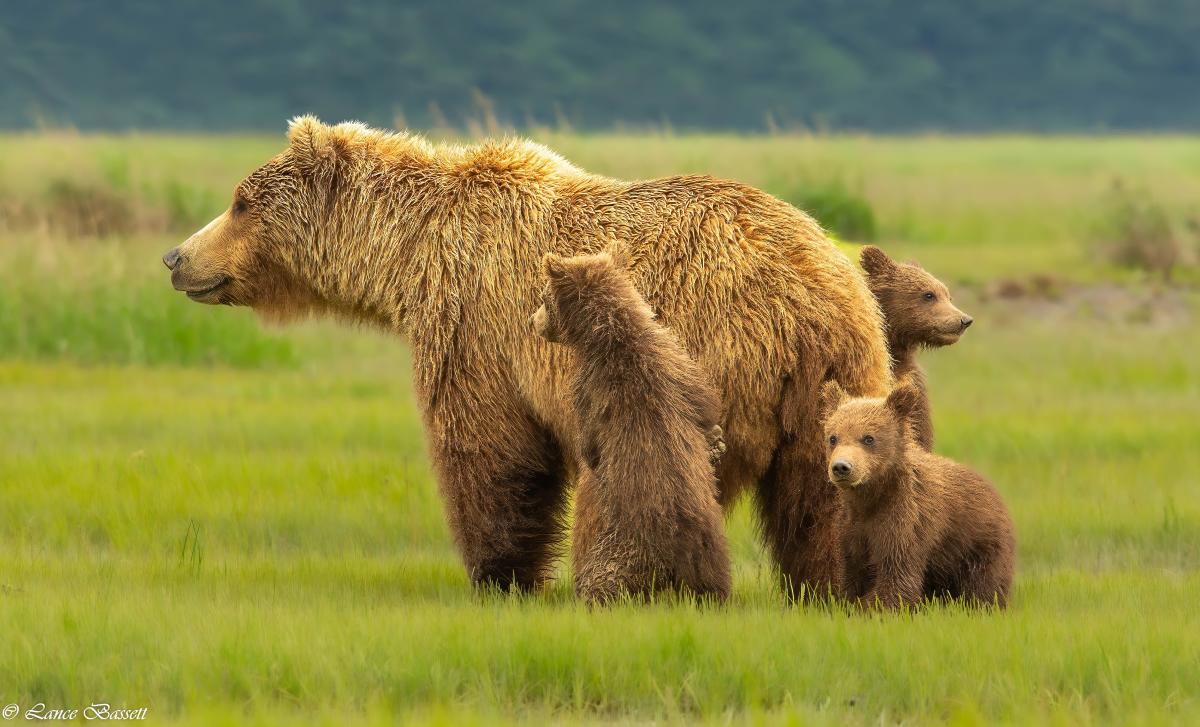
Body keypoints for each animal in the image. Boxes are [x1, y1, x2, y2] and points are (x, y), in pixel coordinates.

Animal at [531, 249, 732, 603]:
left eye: (544, 297)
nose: (533, 320)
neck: (613, 335)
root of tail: (680, 552)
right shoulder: (680, 367)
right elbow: (705, 412)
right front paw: (716, 443)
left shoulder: (589, 389)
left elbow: (589, 443)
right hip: (711, 554)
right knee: (714, 588)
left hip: (622, 550)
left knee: (600, 578)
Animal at [819, 379, 1015, 609]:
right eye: (833, 437)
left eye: (868, 438)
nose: (841, 467)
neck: (873, 496)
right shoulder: (851, 529)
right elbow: (852, 575)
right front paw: (846, 603)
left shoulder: (906, 521)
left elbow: (898, 577)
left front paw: (870, 606)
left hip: (979, 544)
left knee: (984, 586)